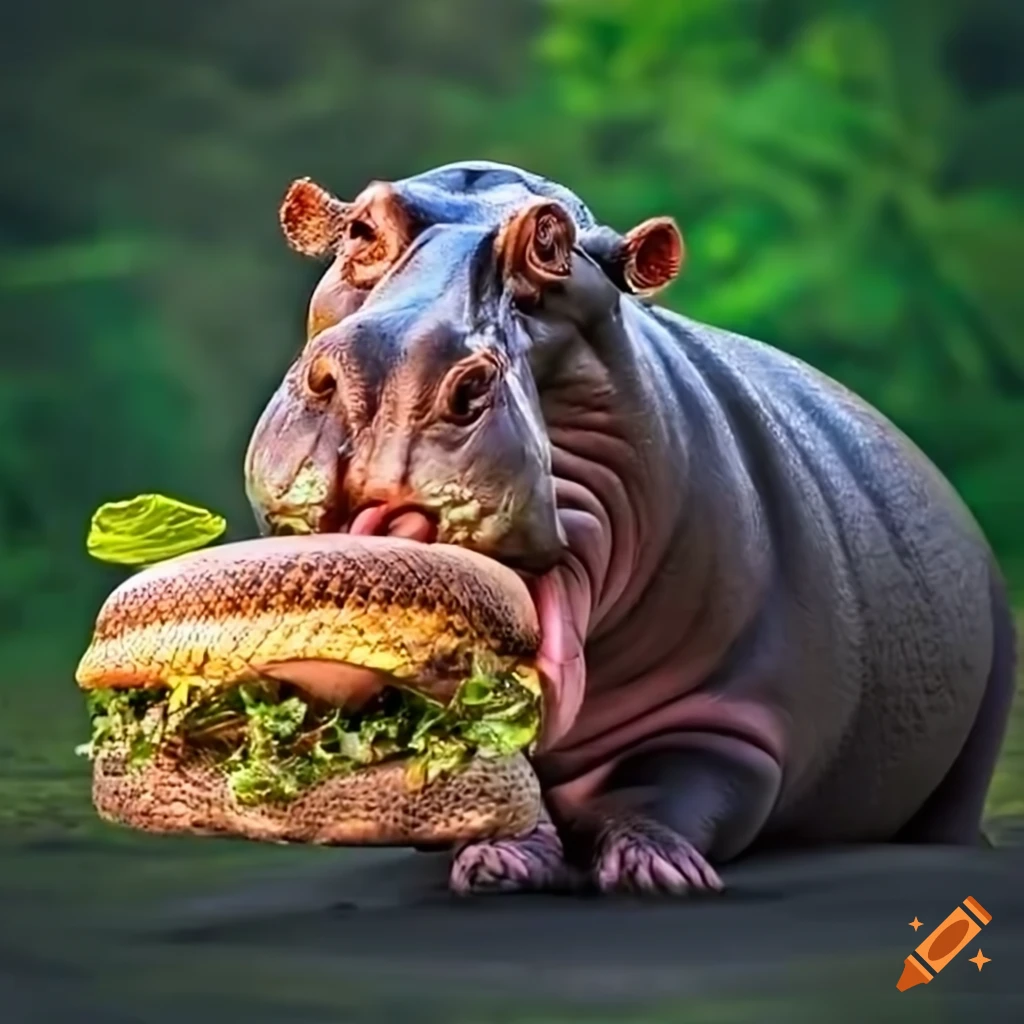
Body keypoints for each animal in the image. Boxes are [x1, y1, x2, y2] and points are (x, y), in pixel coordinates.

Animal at [243, 160, 1017, 896]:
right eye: (360, 231)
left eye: (551, 242)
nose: (391, 365)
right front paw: (501, 860)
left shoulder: (729, 720)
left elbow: (666, 789)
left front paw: (658, 873)